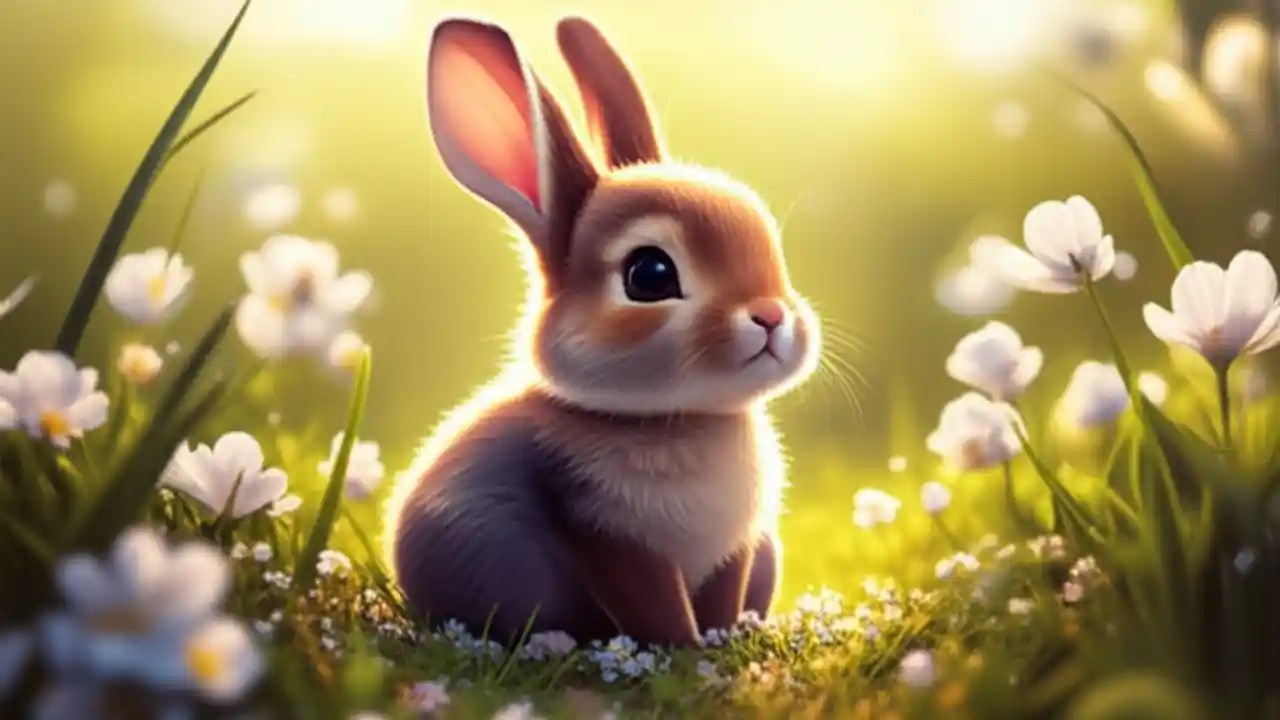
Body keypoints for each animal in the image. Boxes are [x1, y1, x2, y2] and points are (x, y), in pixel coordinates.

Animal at [384, 15, 820, 647]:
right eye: (649, 274)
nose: (770, 314)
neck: (675, 419)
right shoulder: (603, 535)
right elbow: (651, 603)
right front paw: (685, 651)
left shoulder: (736, 548)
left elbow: (721, 594)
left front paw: (720, 640)